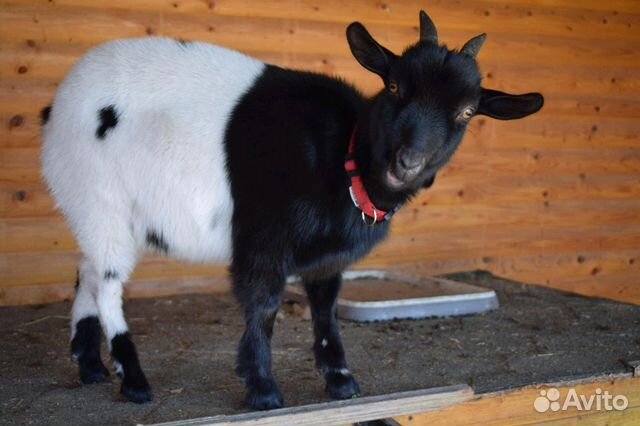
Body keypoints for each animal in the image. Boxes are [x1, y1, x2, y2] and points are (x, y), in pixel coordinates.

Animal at [41, 10, 543, 410]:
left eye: (466, 112)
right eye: (394, 84)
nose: (407, 162)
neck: (345, 157)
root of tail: (57, 108)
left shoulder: (327, 259)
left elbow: (326, 310)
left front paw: (341, 380)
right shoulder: (264, 239)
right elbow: (263, 307)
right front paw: (263, 389)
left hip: (100, 213)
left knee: (87, 272)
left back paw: (90, 367)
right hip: (101, 200)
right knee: (108, 284)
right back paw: (134, 381)